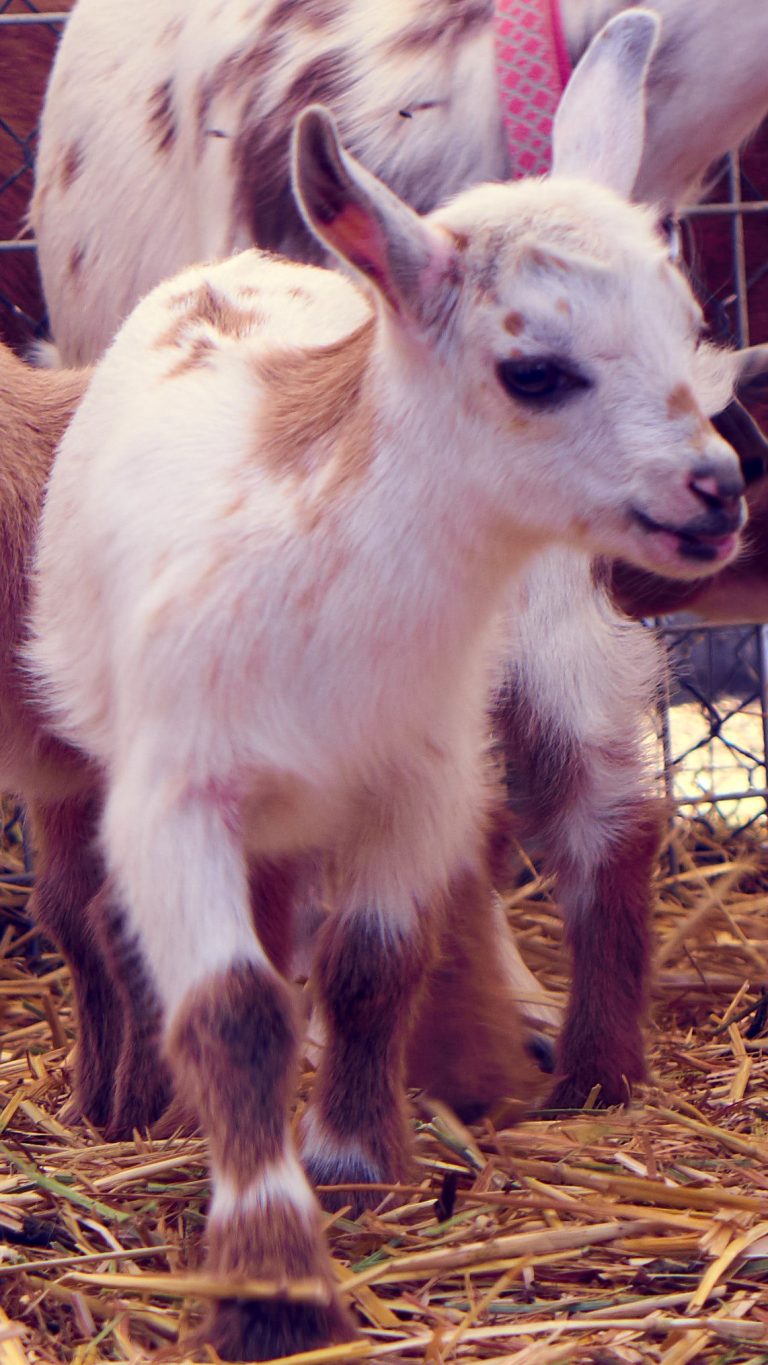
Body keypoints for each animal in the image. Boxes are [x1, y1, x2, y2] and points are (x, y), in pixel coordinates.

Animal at [27, 16, 749, 1354]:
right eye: (535, 371)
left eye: (689, 322)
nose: (719, 491)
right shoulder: (170, 798)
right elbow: (234, 1011)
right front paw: (272, 1285)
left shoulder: (418, 776)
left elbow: (373, 963)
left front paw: (358, 1164)